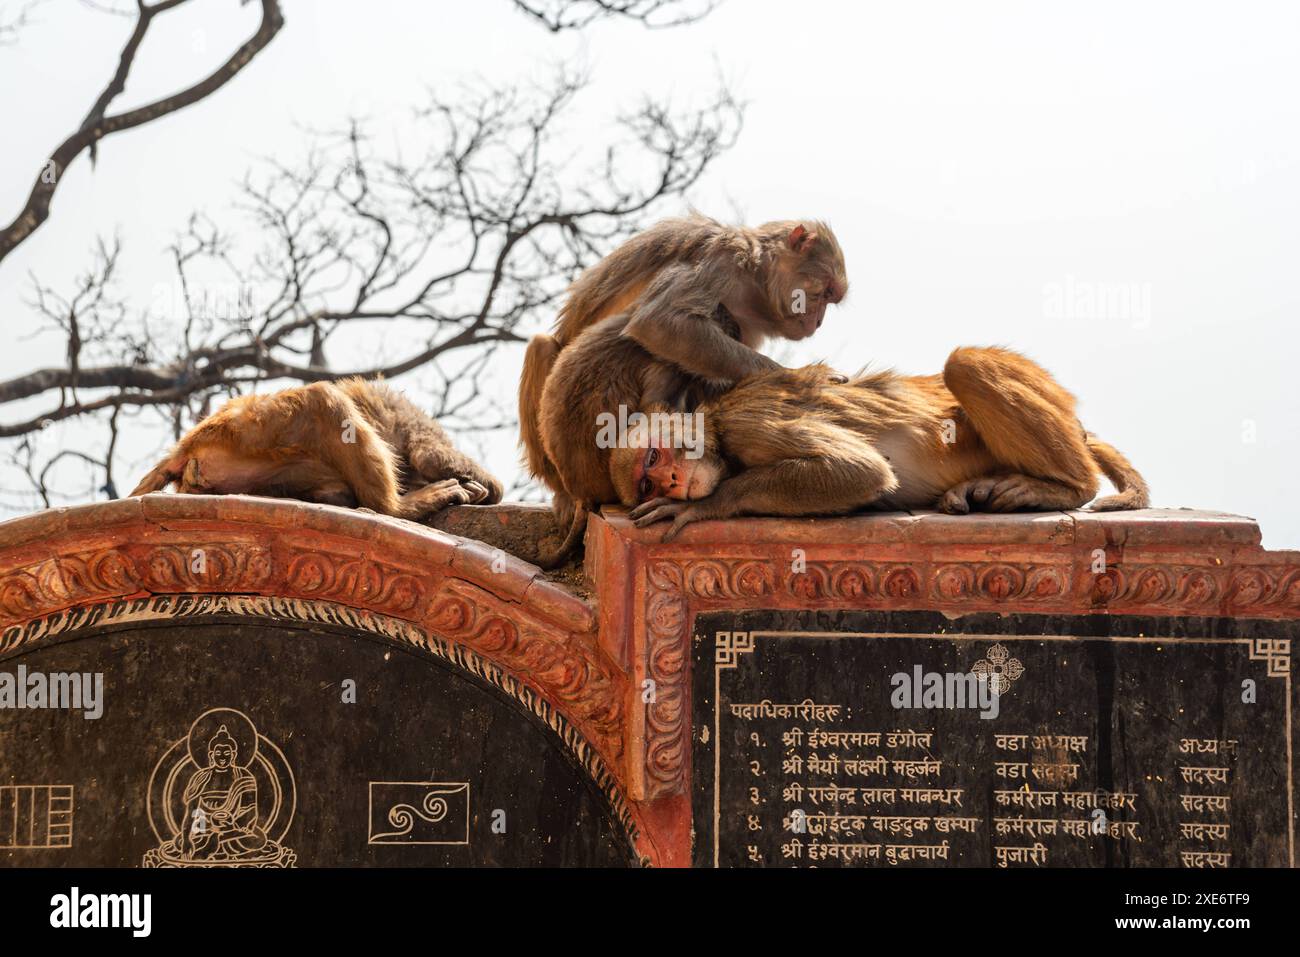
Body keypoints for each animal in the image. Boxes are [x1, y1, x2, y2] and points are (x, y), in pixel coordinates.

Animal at [130, 377, 503, 522]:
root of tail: (186, 445)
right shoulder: (416, 424)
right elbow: (429, 455)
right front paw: (490, 488)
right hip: (255, 428)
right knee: (324, 398)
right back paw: (399, 507)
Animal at [519, 214, 849, 528]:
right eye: (825, 292)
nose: (819, 321)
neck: (755, 285)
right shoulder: (723, 259)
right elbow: (660, 321)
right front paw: (797, 377)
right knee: (542, 345)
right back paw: (564, 497)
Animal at [606, 347, 1149, 540]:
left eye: (654, 457)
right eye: (647, 483)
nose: (671, 480)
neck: (718, 434)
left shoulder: (749, 423)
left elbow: (861, 470)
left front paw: (704, 507)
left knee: (965, 363)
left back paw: (1067, 487)